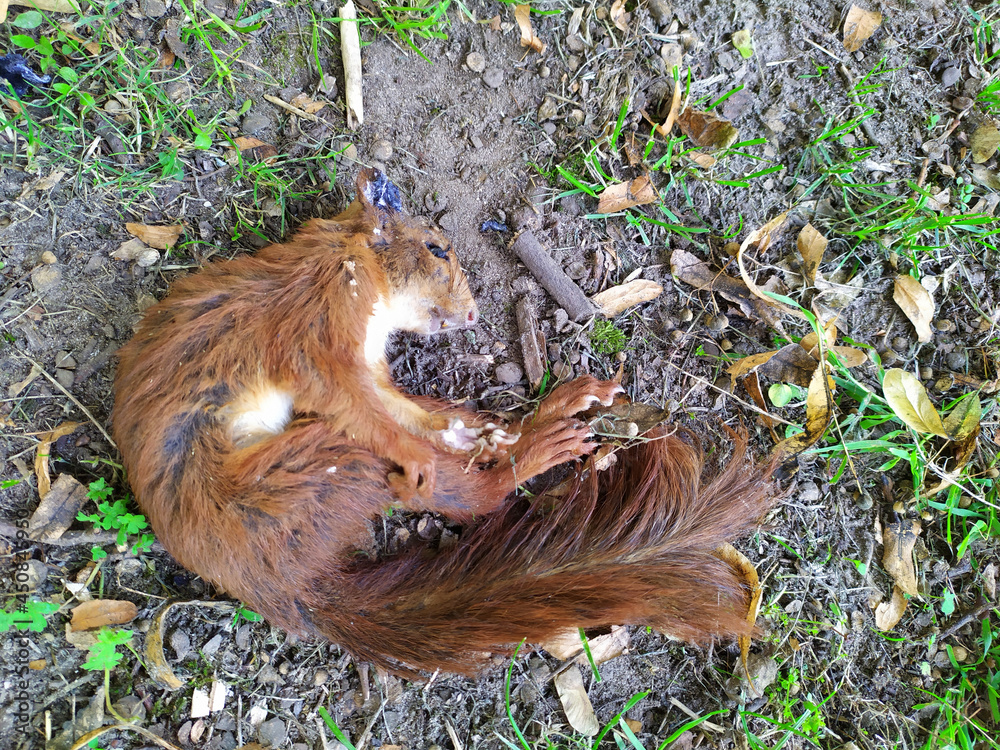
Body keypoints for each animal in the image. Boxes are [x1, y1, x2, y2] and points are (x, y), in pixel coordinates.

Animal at [112, 169, 775, 677]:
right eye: (436, 249)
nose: (475, 313)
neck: (348, 260)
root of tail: (280, 587)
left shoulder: (372, 369)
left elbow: (427, 417)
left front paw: (479, 430)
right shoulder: (319, 330)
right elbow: (367, 410)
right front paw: (433, 456)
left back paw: (543, 420)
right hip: (311, 468)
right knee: (464, 495)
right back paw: (529, 448)